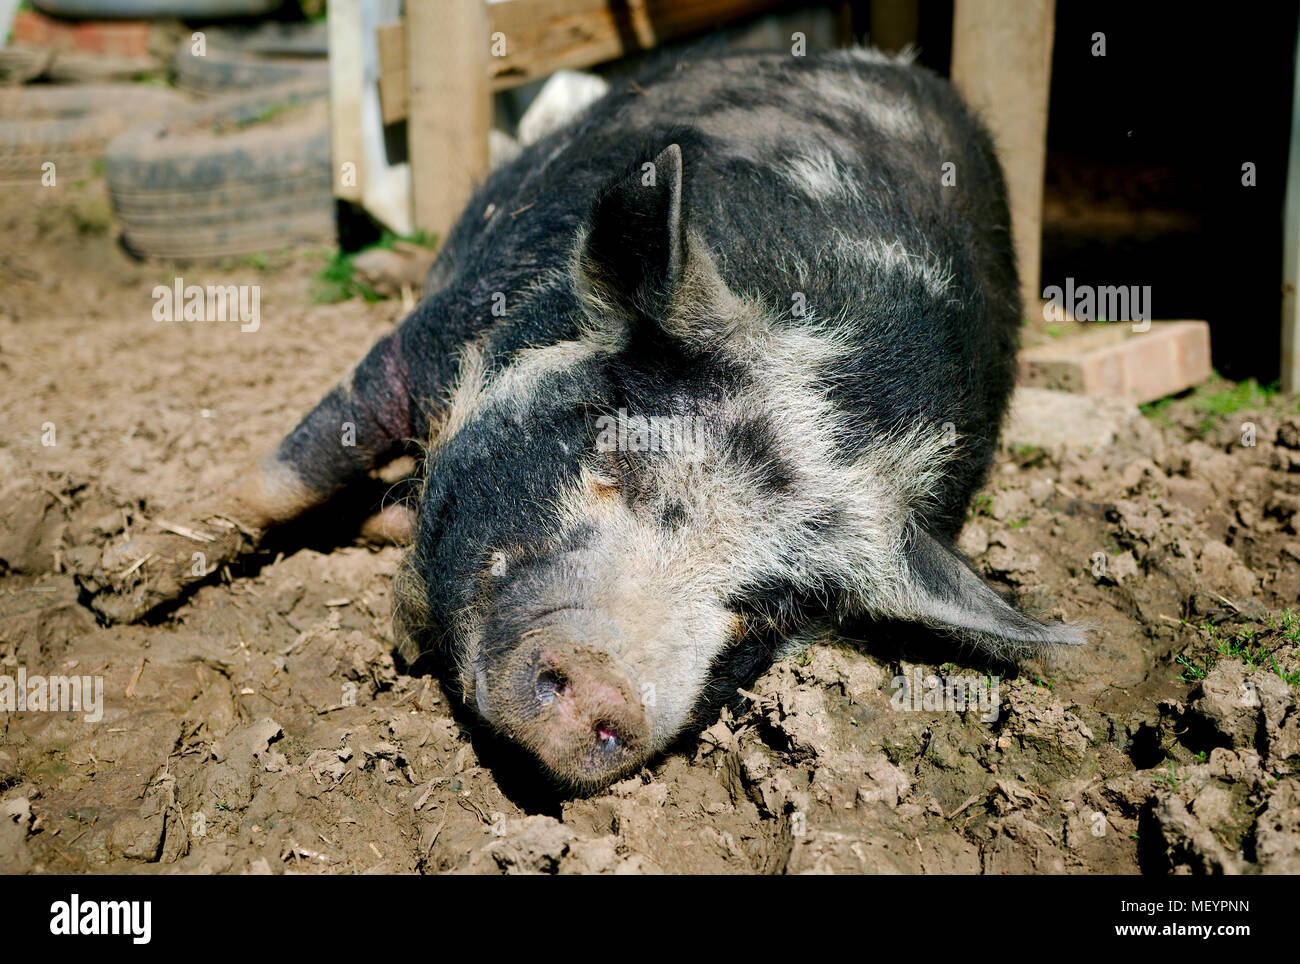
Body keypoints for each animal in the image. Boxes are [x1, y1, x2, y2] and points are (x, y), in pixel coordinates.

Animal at [85, 48, 1084, 790]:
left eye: (766, 610)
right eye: (616, 462)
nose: (612, 688)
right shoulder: (425, 344)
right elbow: (294, 468)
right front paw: (113, 591)